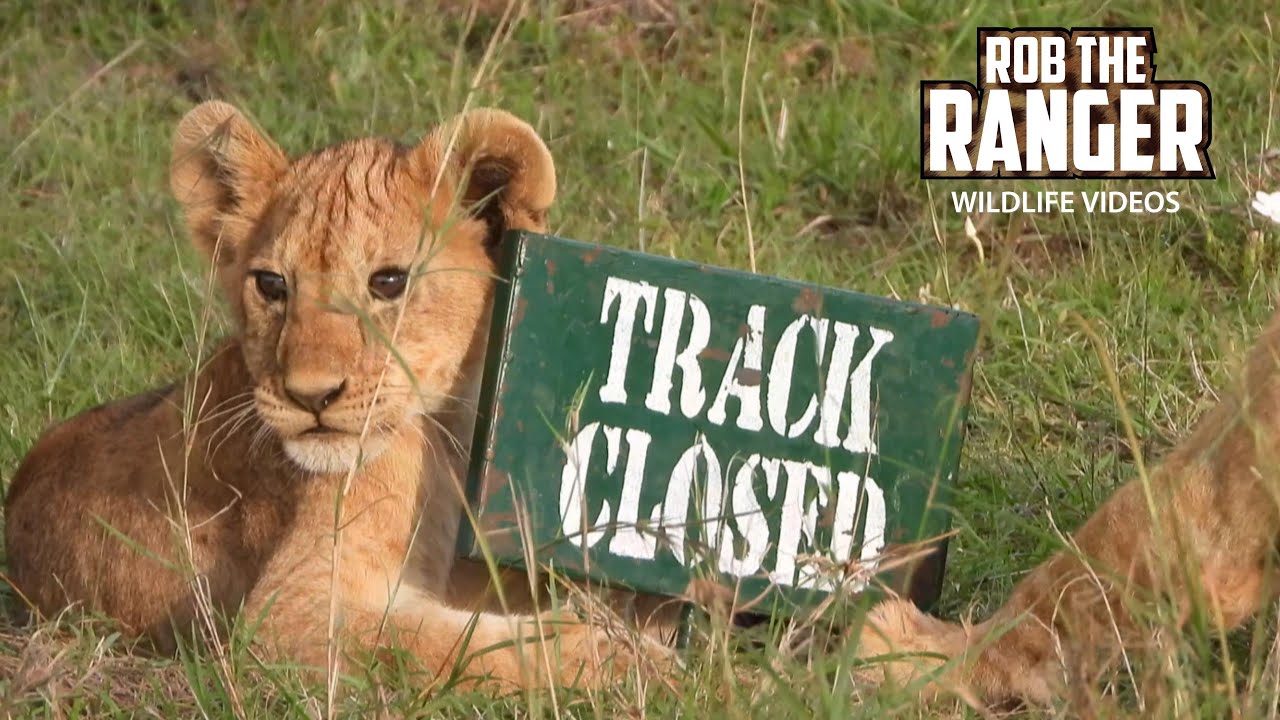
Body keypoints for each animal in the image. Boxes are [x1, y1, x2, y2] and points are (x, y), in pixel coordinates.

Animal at [3, 100, 677, 691]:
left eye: (389, 282)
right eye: (272, 285)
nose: (310, 395)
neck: (454, 430)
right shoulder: (290, 615)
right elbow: (442, 647)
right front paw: (633, 658)